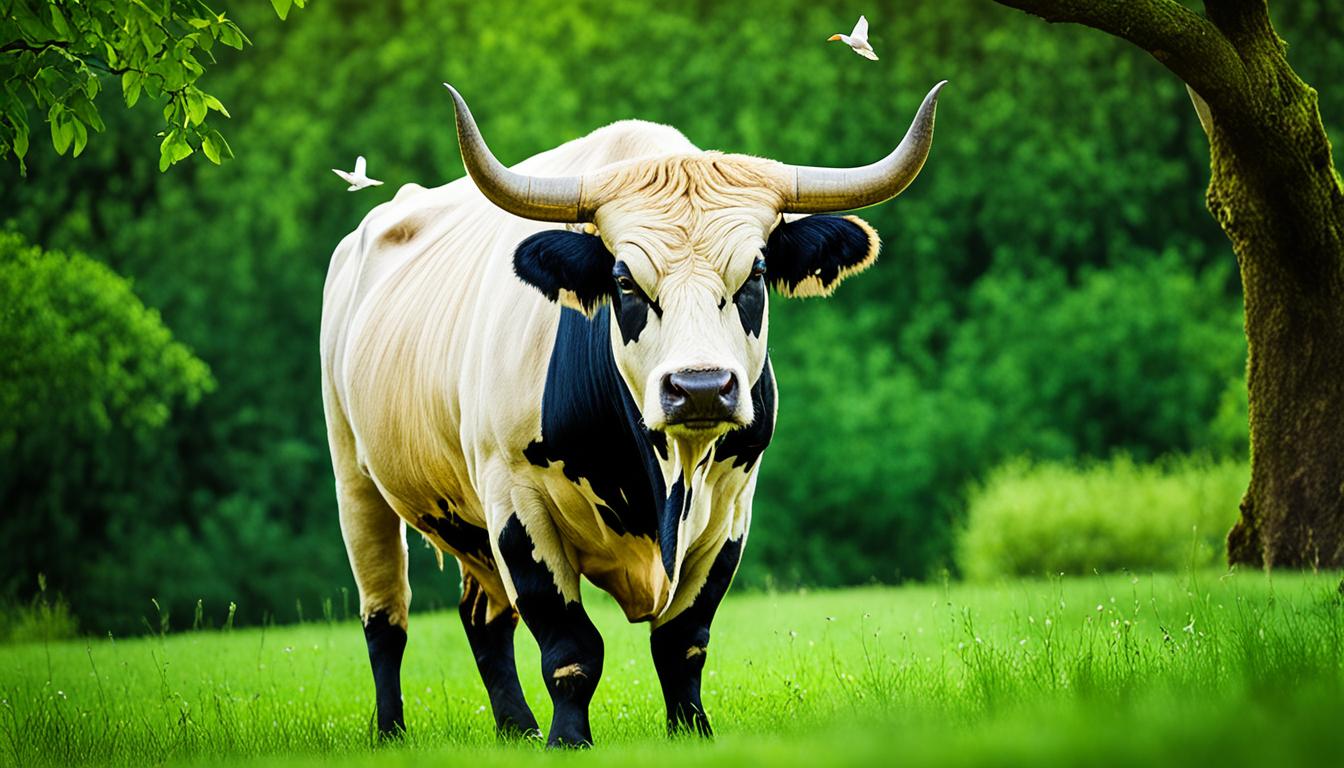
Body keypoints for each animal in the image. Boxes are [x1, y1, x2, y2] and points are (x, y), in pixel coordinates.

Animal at [320, 81, 944, 747]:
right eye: (624, 279)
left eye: (755, 271)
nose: (701, 388)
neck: (662, 477)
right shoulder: (514, 499)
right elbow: (571, 645)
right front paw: (568, 741)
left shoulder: (732, 508)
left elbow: (682, 642)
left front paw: (692, 731)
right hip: (355, 481)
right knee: (386, 620)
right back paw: (392, 734)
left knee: (484, 617)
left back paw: (516, 730)